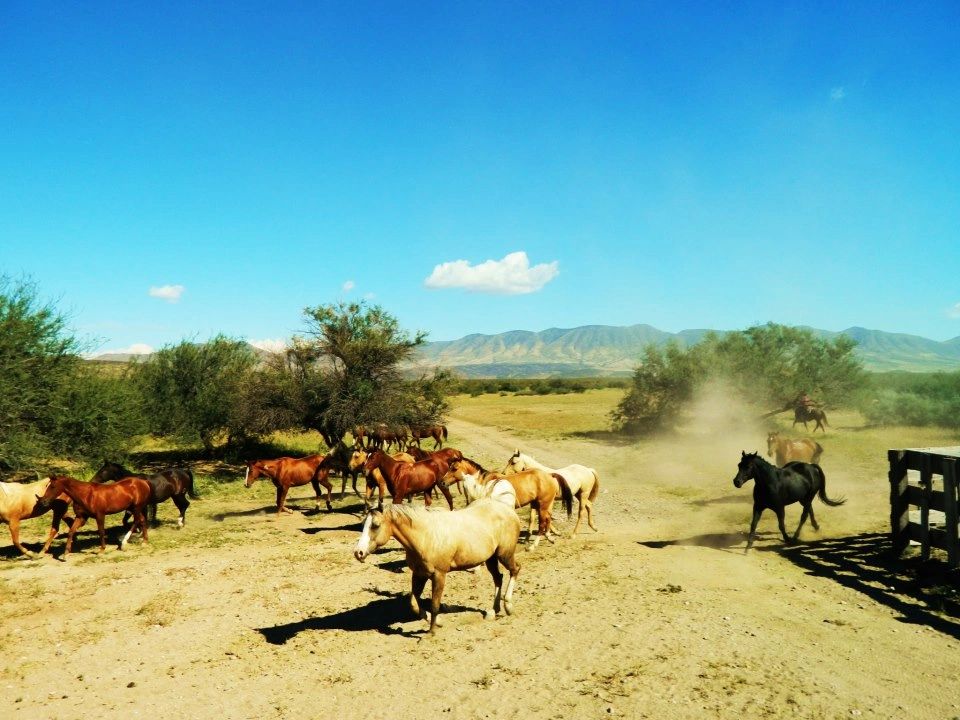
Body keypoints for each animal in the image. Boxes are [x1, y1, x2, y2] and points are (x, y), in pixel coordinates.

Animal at [353, 501, 521, 634]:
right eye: (363, 525)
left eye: (375, 525)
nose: (358, 553)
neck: (426, 536)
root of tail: (508, 510)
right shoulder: (419, 574)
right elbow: (413, 603)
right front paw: (438, 622)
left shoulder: (439, 575)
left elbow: (434, 604)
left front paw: (431, 632)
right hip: (491, 558)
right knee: (498, 578)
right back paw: (493, 611)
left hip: (504, 554)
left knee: (515, 570)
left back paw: (508, 606)